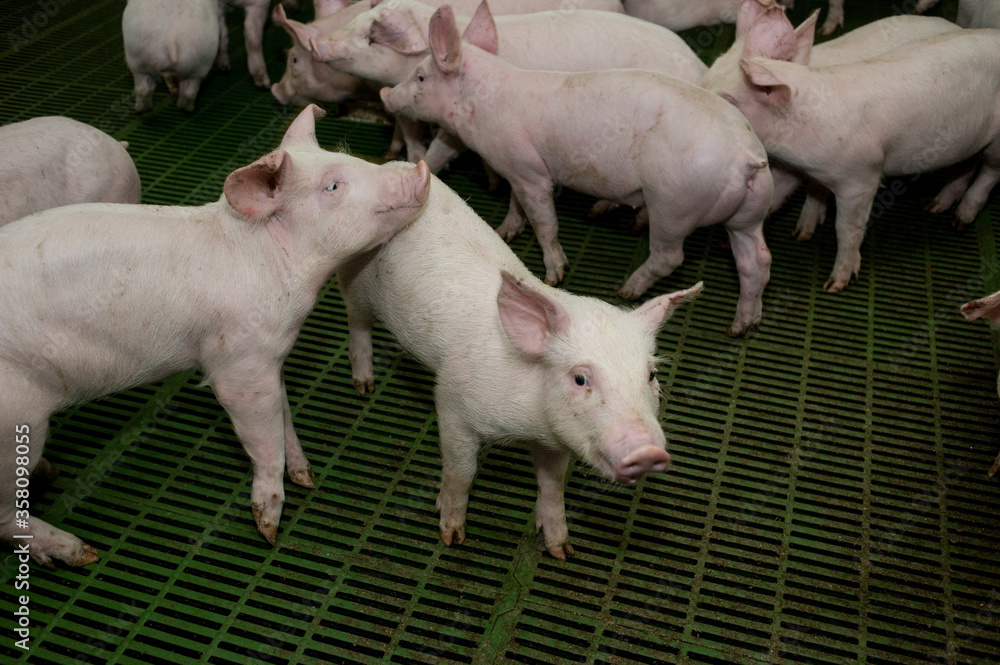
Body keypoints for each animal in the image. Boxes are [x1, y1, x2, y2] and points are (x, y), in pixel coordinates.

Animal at [338, 171, 701, 560]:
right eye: (580, 378)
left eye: (651, 375)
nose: (648, 452)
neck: (531, 424)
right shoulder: (453, 405)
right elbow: (461, 471)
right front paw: (451, 535)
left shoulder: (555, 442)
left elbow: (553, 486)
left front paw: (562, 550)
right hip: (354, 280)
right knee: (357, 323)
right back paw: (364, 385)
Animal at [382, 4, 772, 336]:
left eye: (420, 77)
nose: (386, 93)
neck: (480, 106)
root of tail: (746, 155)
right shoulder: (513, 170)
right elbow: (516, 206)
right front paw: (506, 231)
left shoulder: (530, 172)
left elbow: (544, 222)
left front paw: (555, 275)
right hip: (747, 216)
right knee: (757, 260)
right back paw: (742, 326)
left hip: (675, 203)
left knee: (670, 256)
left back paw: (627, 289)